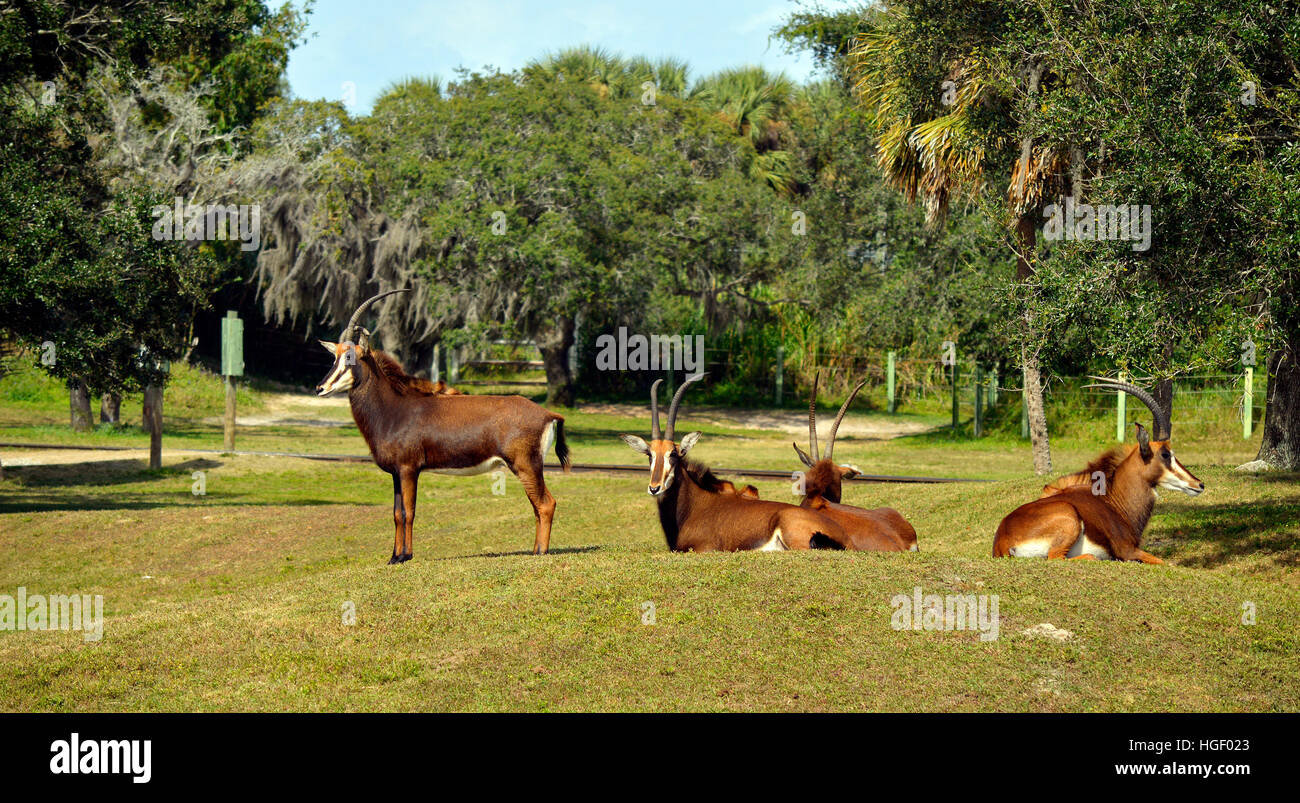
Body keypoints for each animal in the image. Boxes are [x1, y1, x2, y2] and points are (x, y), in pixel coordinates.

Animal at [316, 289, 570, 563]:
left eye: (349, 356)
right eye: (334, 356)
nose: (320, 388)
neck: (394, 409)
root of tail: (547, 413)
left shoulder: (409, 469)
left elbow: (408, 512)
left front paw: (406, 556)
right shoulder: (396, 473)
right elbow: (396, 514)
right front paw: (394, 557)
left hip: (526, 466)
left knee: (545, 503)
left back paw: (540, 553)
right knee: (538, 506)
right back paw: (534, 550)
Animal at [993, 378, 1204, 563]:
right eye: (1165, 454)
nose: (1199, 484)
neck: (1114, 501)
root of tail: (1002, 541)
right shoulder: (1128, 550)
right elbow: (1167, 563)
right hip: (1069, 518)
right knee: (1060, 557)